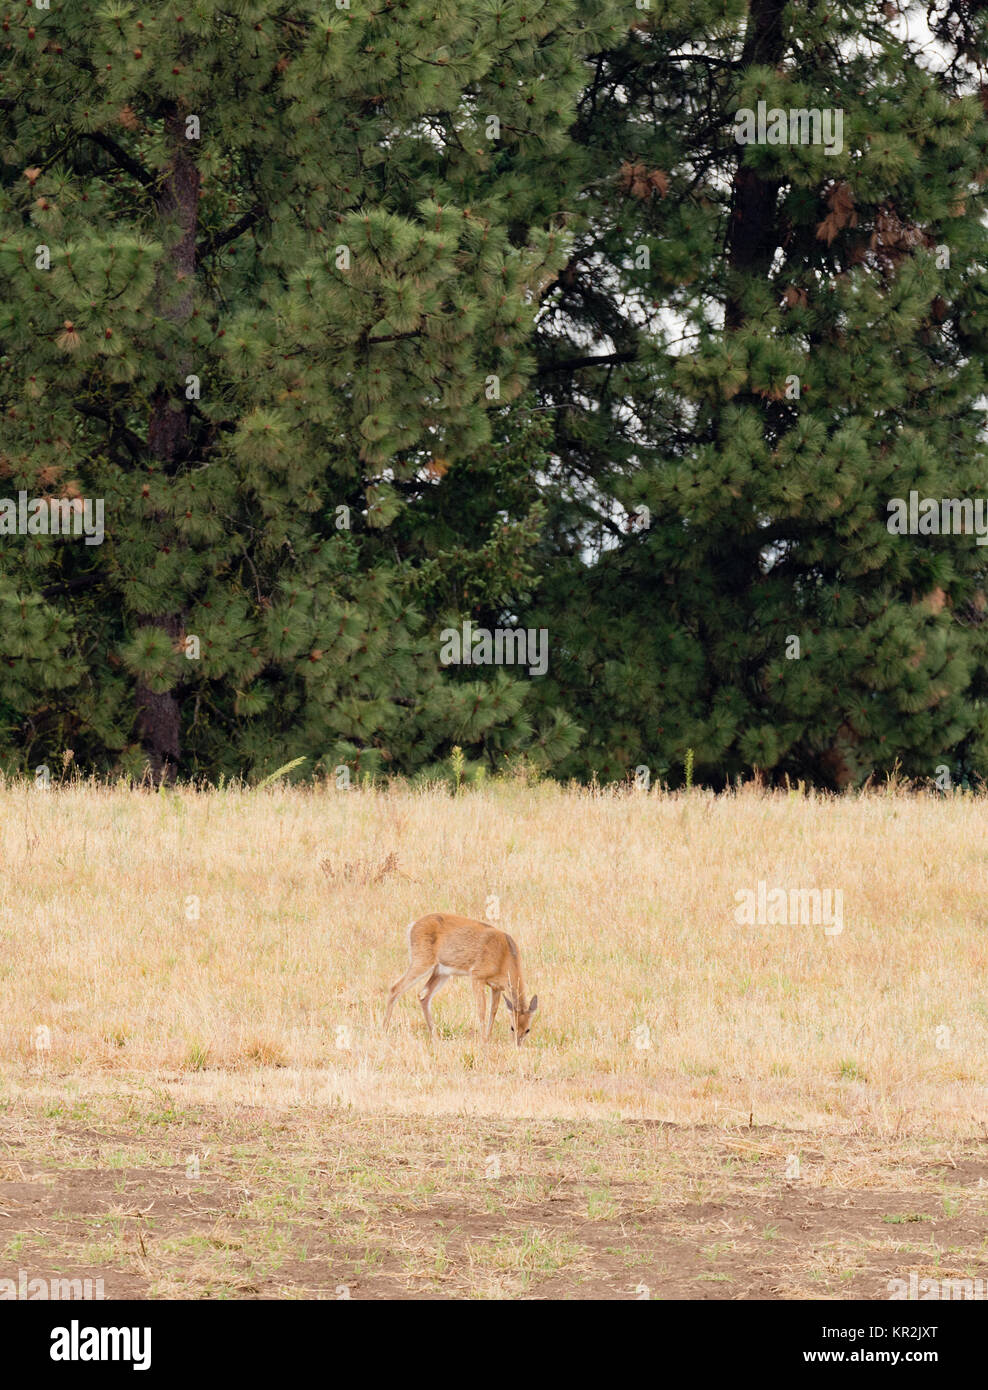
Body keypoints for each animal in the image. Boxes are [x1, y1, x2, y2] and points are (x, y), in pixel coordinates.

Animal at [384, 913, 538, 1046]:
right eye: (512, 1027)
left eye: (528, 1029)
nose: (518, 1045)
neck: (504, 958)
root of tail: (412, 926)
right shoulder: (476, 975)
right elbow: (481, 1010)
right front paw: (483, 1041)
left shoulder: (496, 987)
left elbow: (493, 1011)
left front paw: (487, 1038)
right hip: (422, 960)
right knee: (395, 988)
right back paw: (384, 1030)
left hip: (441, 972)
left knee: (423, 995)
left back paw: (435, 1038)